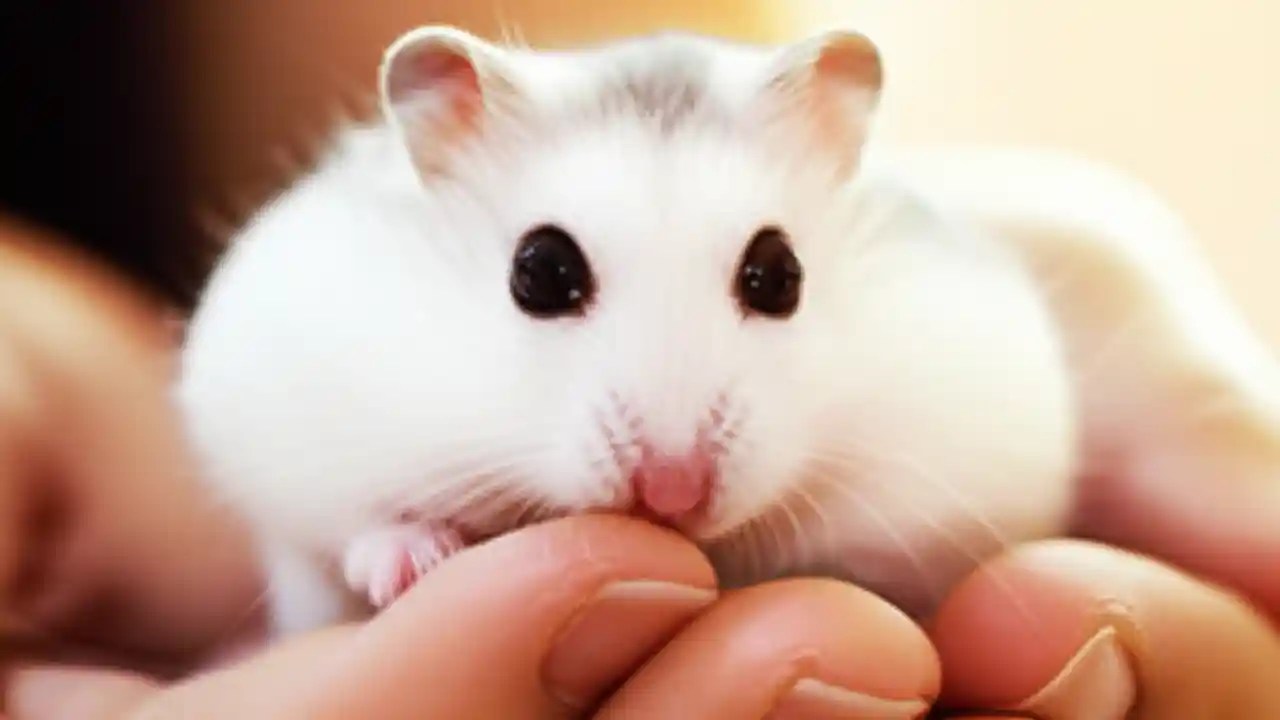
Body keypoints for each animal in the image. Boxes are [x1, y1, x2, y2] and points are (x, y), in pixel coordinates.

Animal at [175, 26, 1280, 637]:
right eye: (540, 271)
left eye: (778, 275)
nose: (671, 490)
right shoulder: (282, 408)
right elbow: (349, 523)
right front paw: (417, 563)